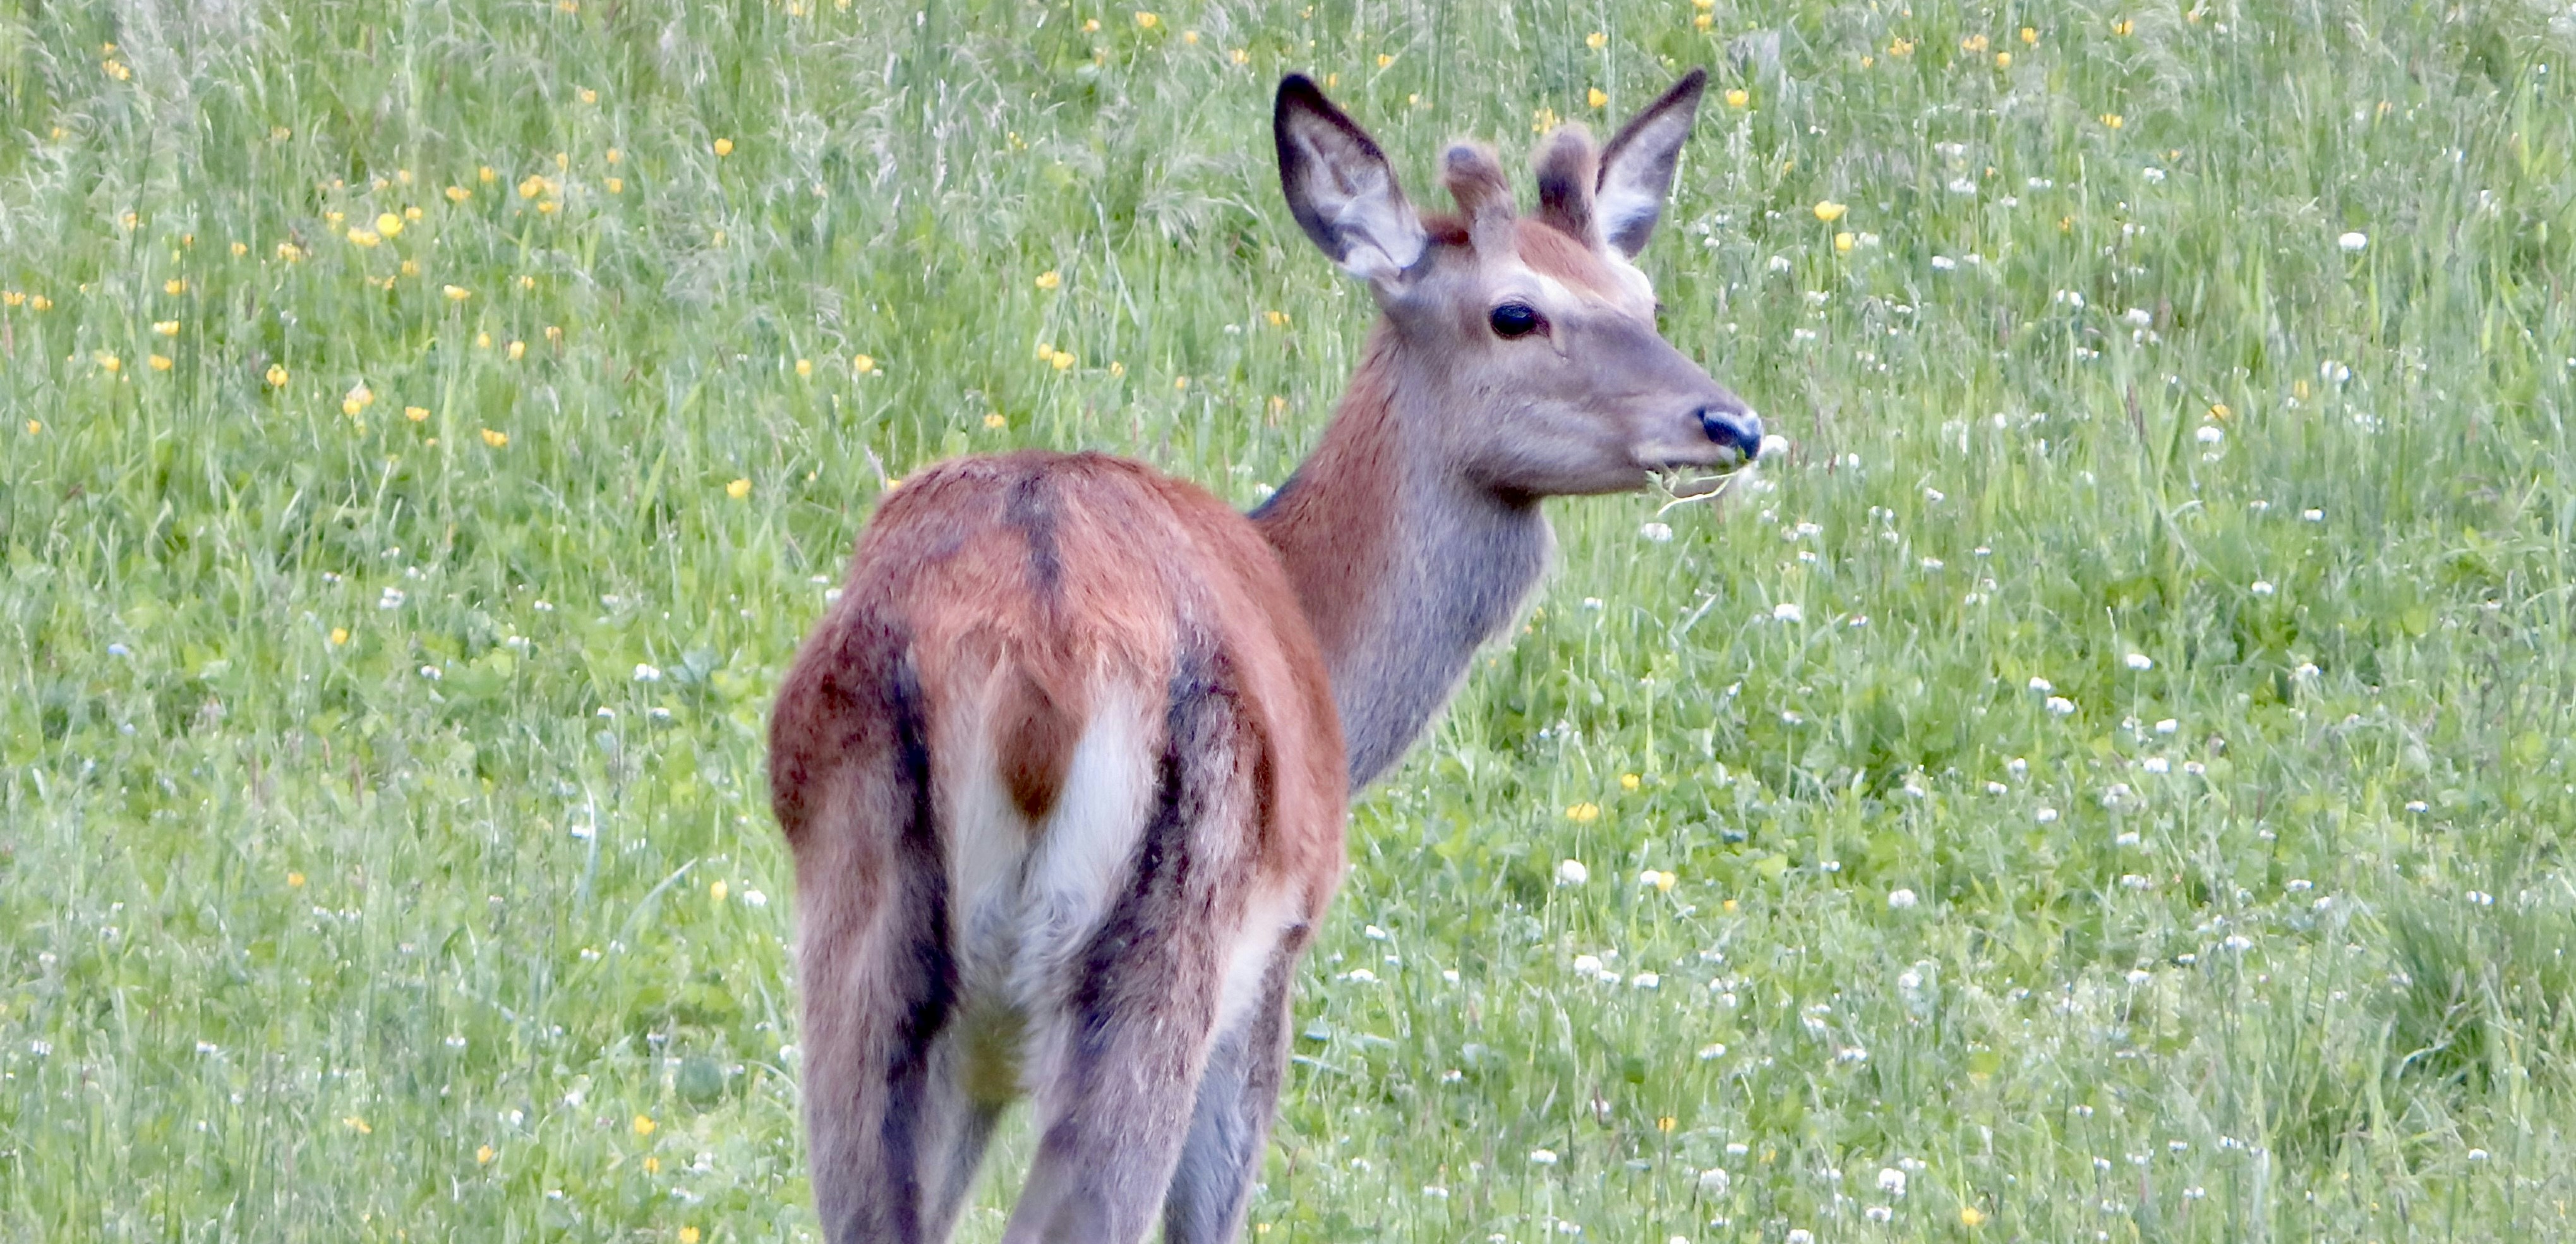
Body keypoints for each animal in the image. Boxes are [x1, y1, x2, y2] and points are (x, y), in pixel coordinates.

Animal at [767, 69, 1760, 1244]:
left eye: (1641, 297)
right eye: (1516, 312)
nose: (1729, 422)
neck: (1323, 641)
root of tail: (1035, 670)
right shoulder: (1277, 949)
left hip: (864, 931)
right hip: (1170, 939)